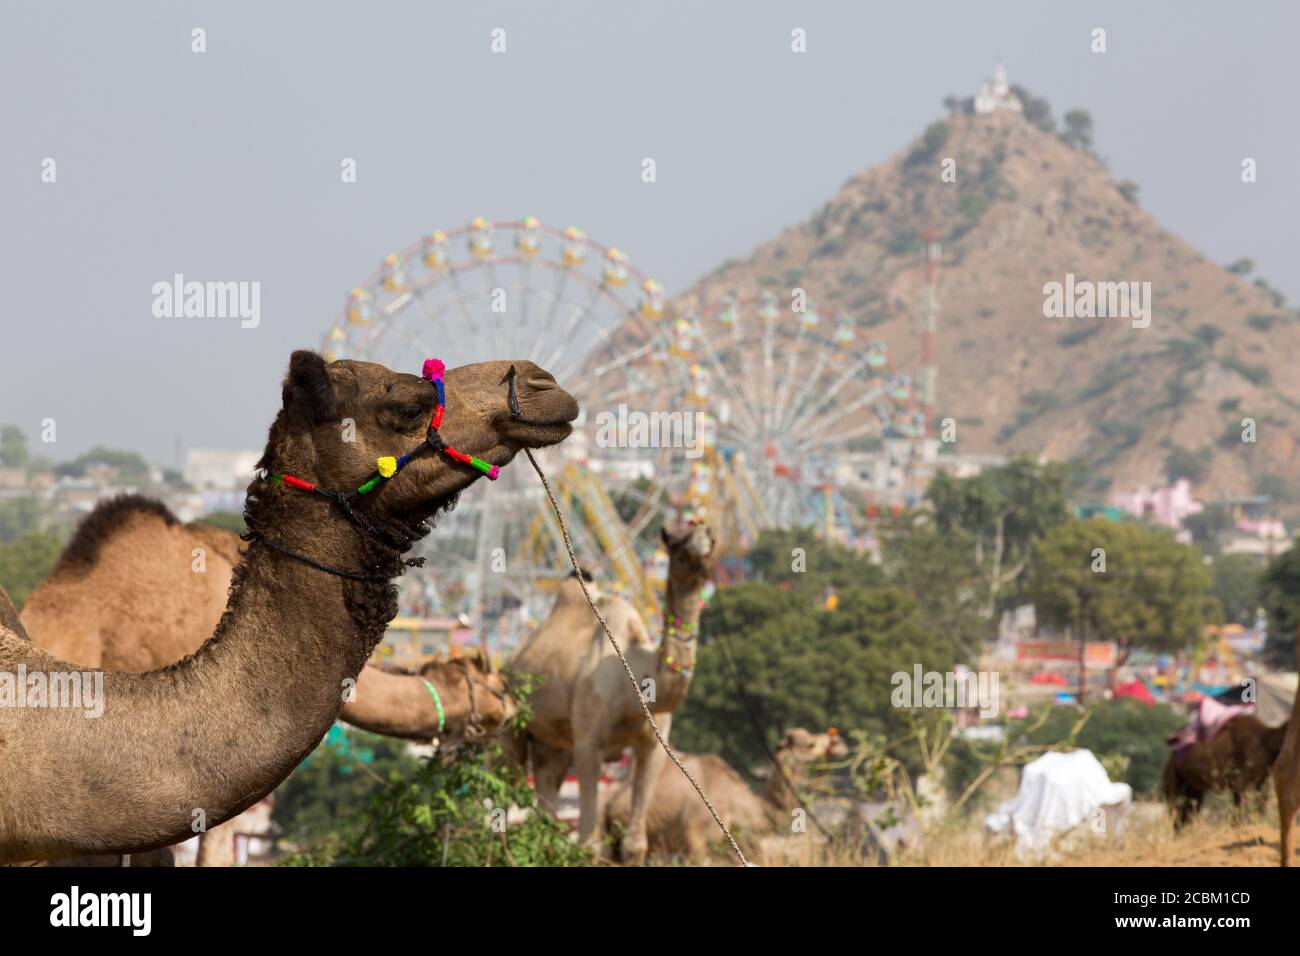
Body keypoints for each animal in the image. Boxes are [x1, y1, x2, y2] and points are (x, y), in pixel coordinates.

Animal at [508, 520, 716, 864]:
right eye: (677, 545)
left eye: (712, 540)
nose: (702, 541)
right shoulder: (589, 743)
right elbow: (588, 844)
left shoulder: (652, 746)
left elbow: (636, 843)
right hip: (512, 724)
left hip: (553, 744)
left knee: (547, 794)